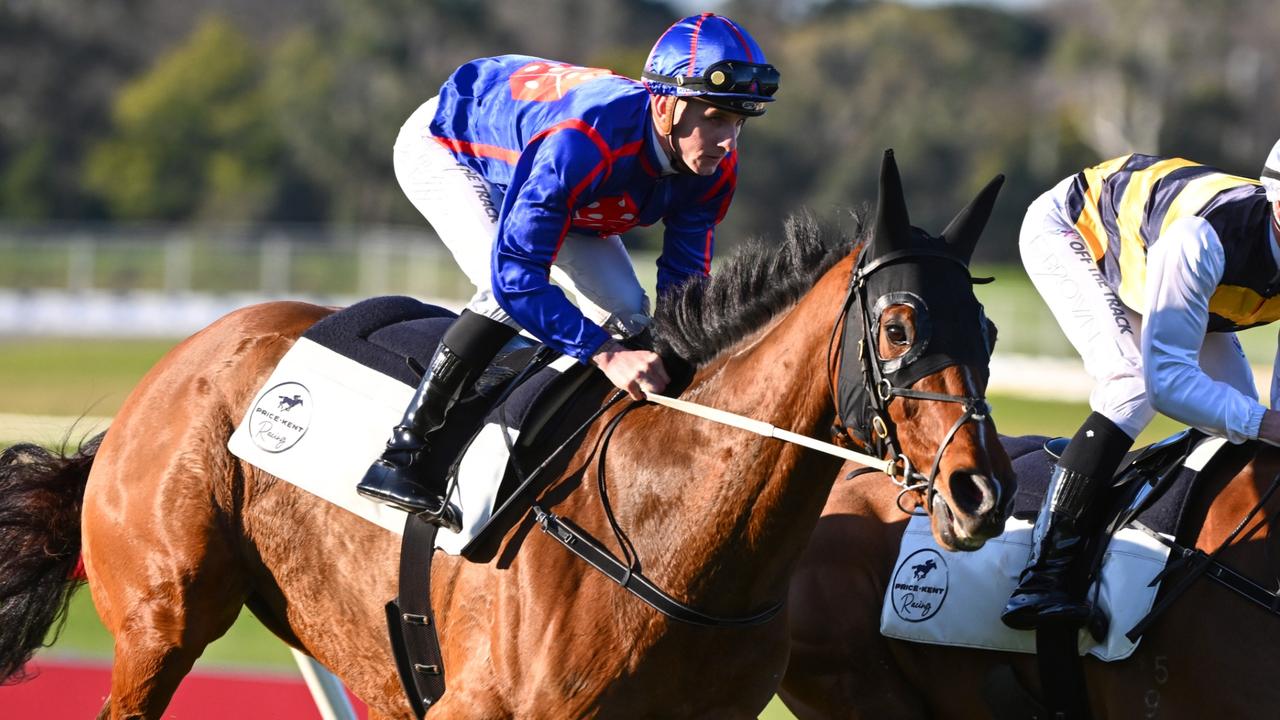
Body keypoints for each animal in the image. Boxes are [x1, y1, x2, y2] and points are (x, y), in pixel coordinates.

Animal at [0, 151, 1013, 719]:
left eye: (990, 332)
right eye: (899, 327)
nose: (981, 491)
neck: (674, 531)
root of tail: (175, 366)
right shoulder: (476, 706)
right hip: (162, 622)